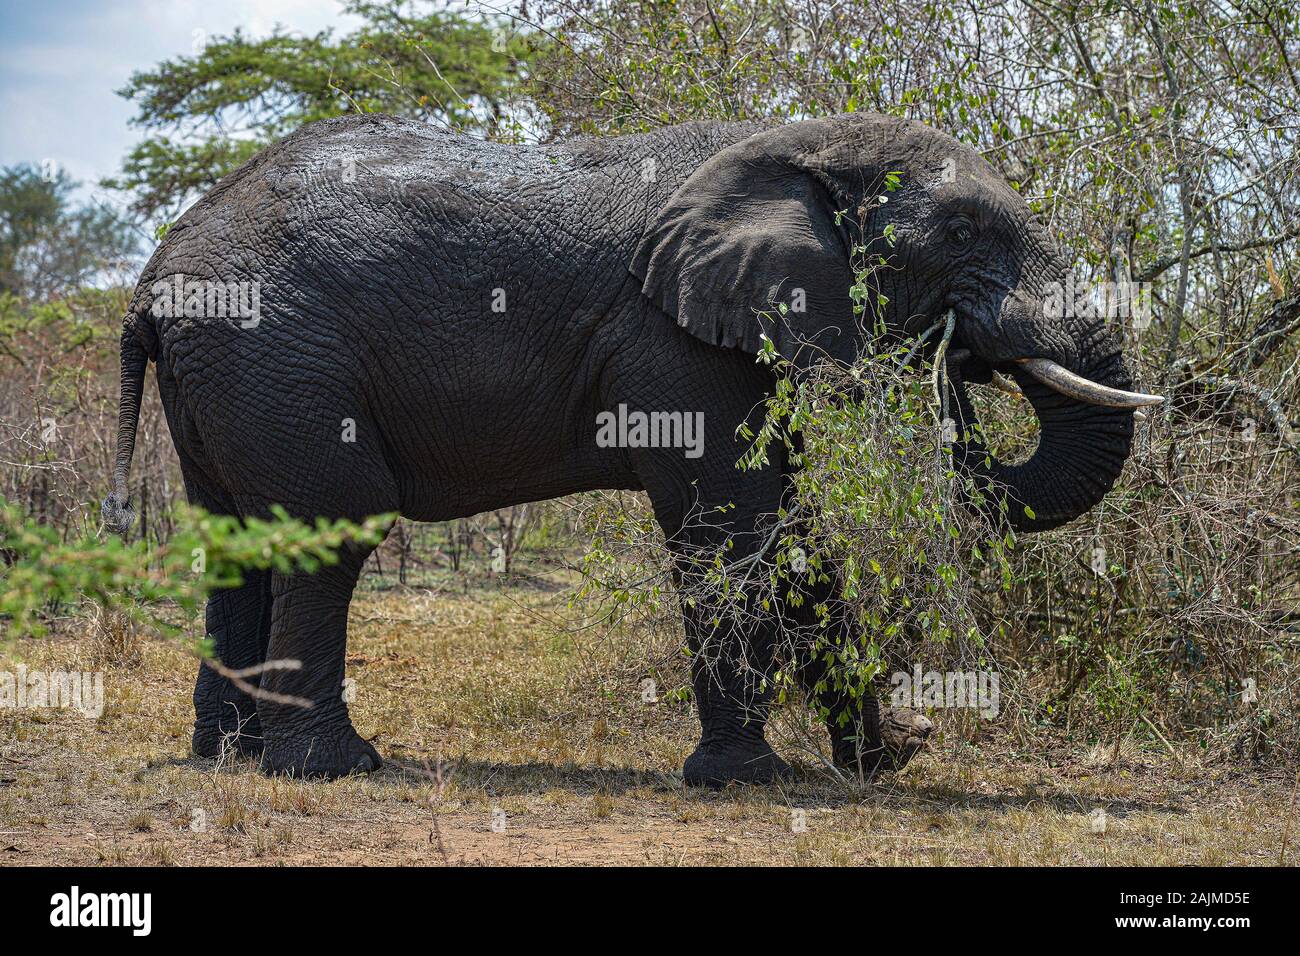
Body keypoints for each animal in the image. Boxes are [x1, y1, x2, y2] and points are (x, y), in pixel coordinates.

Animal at [102, 112, 1161, 785]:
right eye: (963, 230)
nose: (957, 364)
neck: (800, 142)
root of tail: (154, 270)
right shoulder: (670, 342)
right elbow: (734, 527)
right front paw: (747, 779)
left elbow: (796, 533)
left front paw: (889, 758)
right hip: (277, 355)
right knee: (330, 532)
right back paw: (332, 770)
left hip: (229, 374)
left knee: (234, 546)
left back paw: (227, 758)